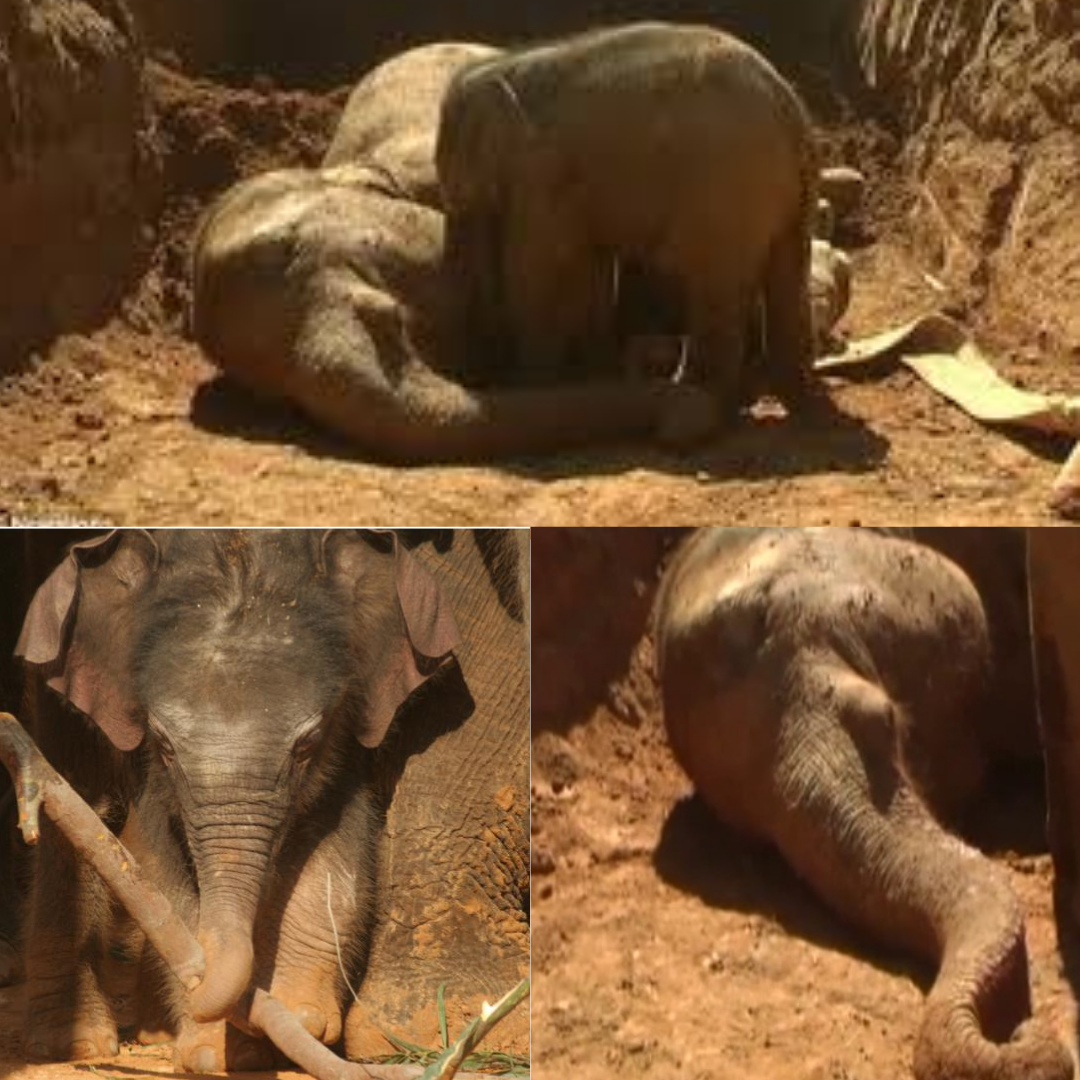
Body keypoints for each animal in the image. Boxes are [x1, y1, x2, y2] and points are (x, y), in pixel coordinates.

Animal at [12, 528, 529, 1070]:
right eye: (165, 745)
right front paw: (216, 1052)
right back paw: (75, 1044)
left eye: (307, 744)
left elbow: (336, 833)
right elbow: (154, 859)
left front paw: (296, 1017)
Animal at [435, 22, 826, 424]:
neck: (506, 67)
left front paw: (532, 385)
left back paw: (699, 398)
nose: (473, 373)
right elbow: (592, 267)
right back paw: (799, 408)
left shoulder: (541, 174)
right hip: (786, 197)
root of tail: (789, 109)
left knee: (715, 289)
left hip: (727, 190)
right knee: (788, 275)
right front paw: (592, 378)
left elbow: (533, 268)